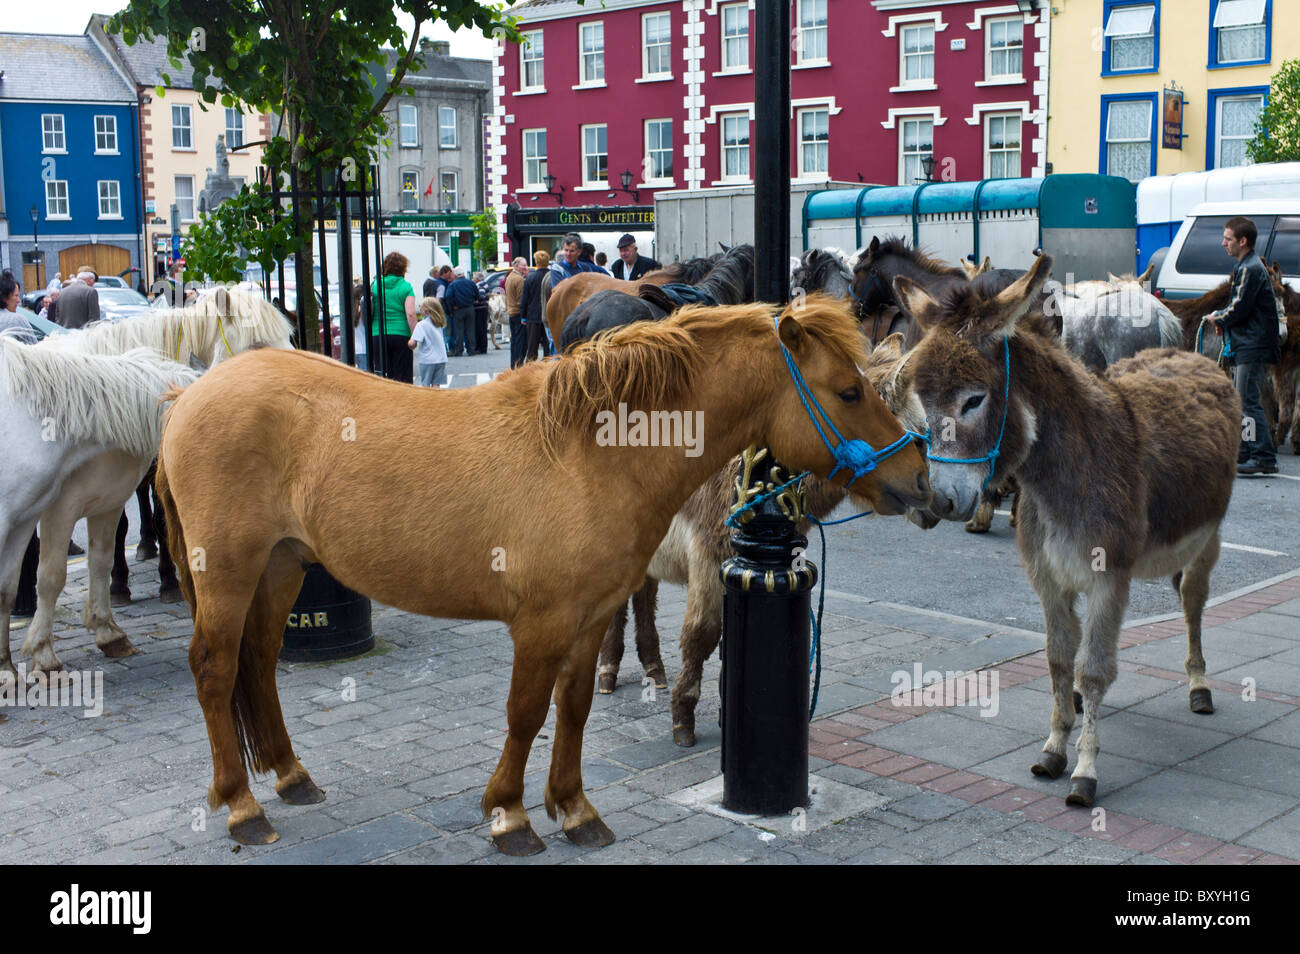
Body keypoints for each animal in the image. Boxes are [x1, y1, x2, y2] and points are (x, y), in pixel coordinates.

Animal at [0, 338, 198, 682]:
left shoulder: (105, 504)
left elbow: (100, 561)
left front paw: (108, 632)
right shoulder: (55, 511)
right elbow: (51, 577)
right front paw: (44, 654)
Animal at [597, 332, 936, 746]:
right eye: (915, 439)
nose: (937, 503)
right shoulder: (711, 557)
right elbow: (701, 635)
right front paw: (683, 721)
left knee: (642, 596)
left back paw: (653, 669)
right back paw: (609, 673)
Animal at [893, 255, 1240, 808]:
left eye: (974, 401)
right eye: (923, 399)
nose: (938, 503)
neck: (1058, 479)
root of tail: (1187, 354)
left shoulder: (1107, 579)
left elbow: (1094, 670)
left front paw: (1085, 772)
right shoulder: (1048, 580)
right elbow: (1058, 661)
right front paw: (1054, 748)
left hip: (1207, 538)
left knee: (1192, 602)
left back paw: (1199, 686)